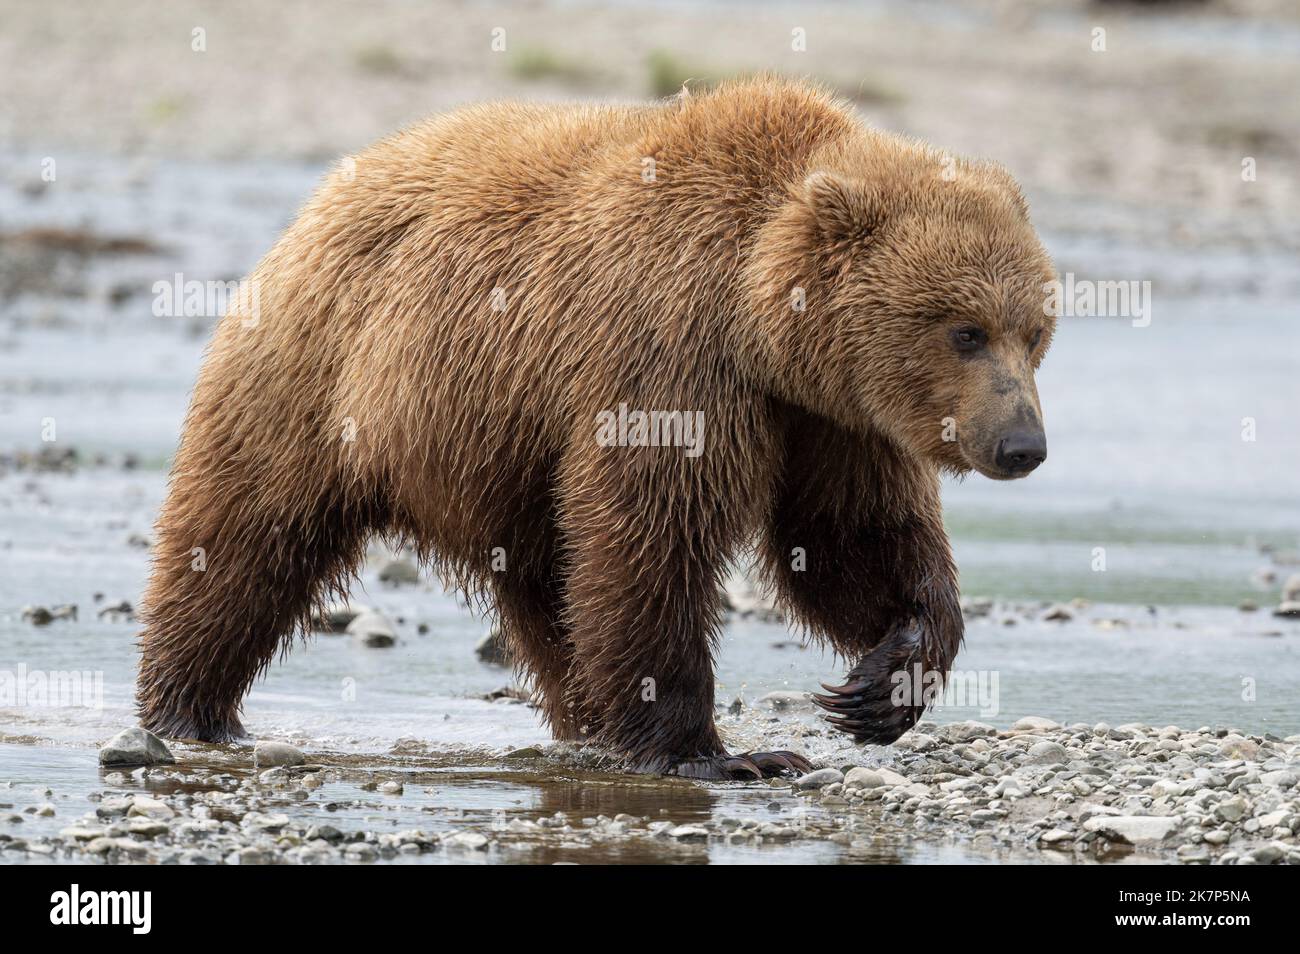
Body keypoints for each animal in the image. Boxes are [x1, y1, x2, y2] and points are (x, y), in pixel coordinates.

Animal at [137, 77, 1056, 779]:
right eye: (965, 330)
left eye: (1037, 329)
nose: (1023, 445)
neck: (762, 323)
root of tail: (327, 189)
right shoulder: (671, 359)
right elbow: (653, 539)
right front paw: (722, 755)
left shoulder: (833, 418)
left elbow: (850, 536)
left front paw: (881, 684)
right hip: (321, 376)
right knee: (245, 538)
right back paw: (189, 709)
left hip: (503, 459)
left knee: (556, 591)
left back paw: (586, 720)